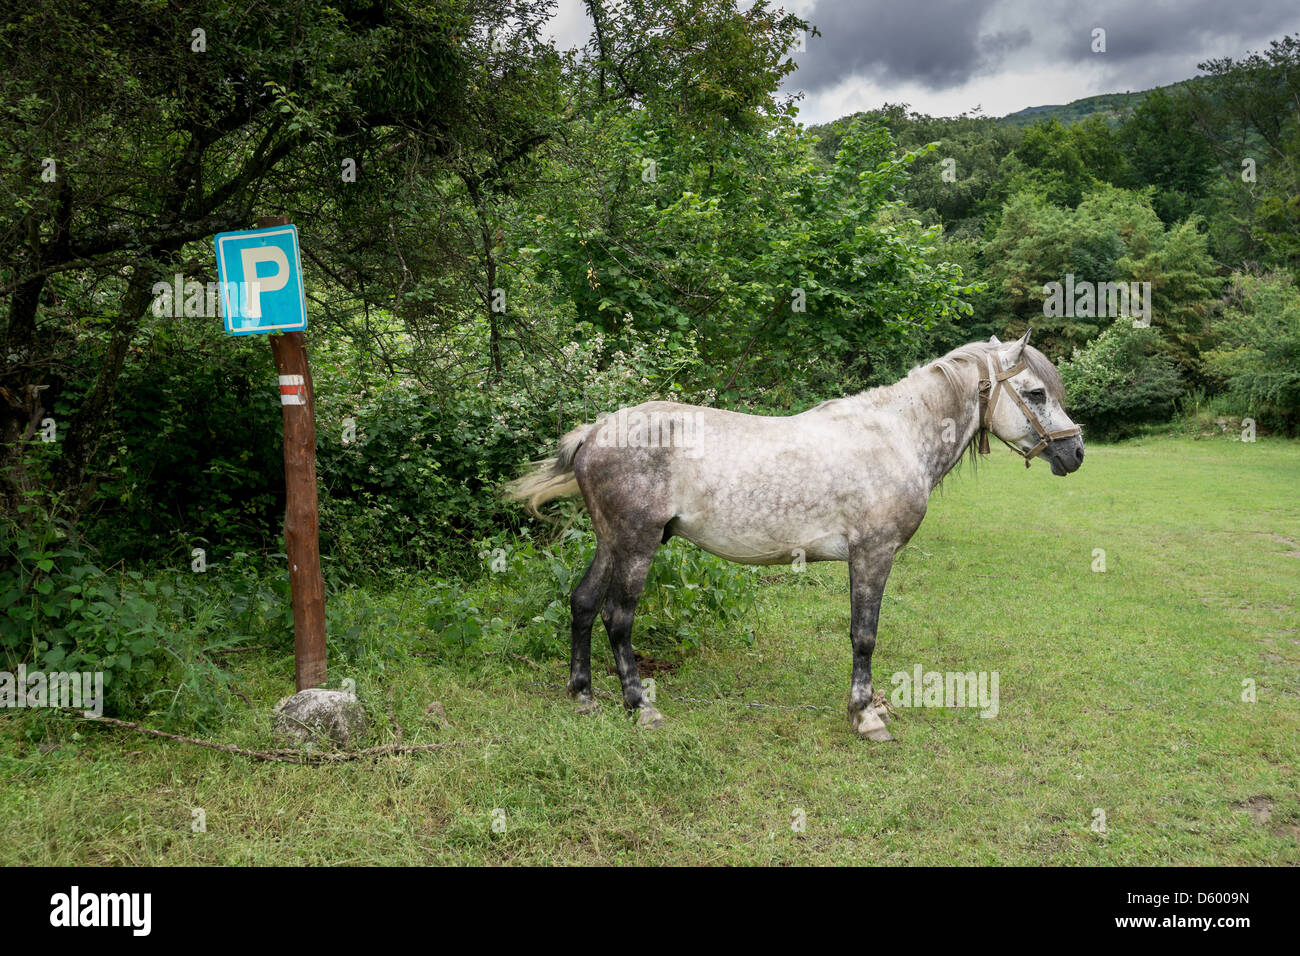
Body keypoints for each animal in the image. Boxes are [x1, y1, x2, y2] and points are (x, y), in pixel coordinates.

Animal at [504, 331, 1084, 740]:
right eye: (1036, 393)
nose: (1075, 451)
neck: (897, 436)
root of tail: (596, 430)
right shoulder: (872, 555)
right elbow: (864, 635)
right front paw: (866, 717)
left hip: (611, 541)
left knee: (582, 603)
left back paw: (583, 696)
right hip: (636, 544)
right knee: (617, 618)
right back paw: (640, 708)